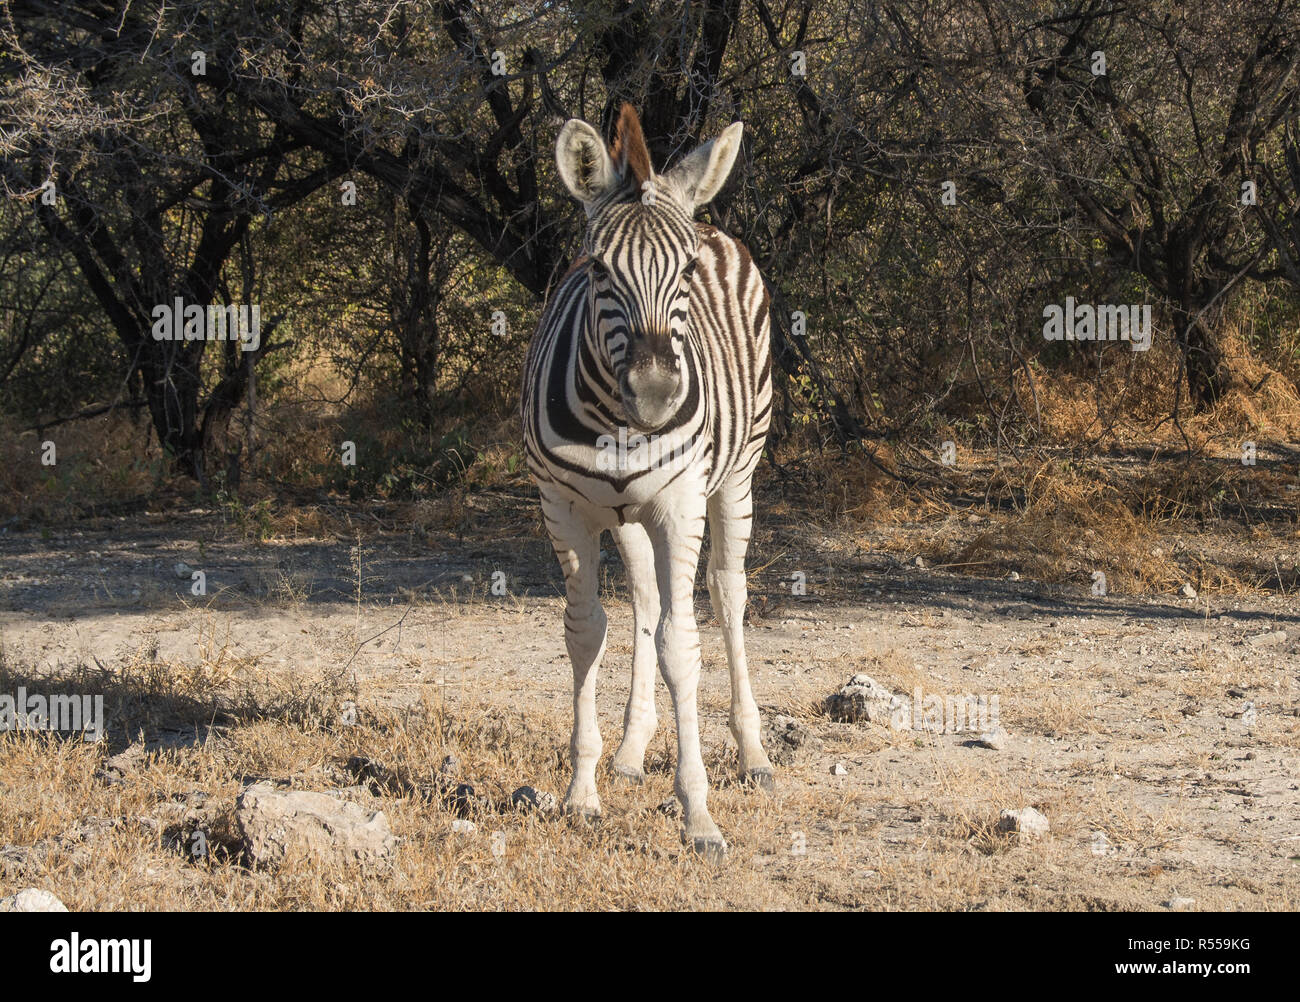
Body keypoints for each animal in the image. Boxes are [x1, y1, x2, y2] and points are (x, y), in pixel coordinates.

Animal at [522, 105, 773, 861]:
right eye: (599, 269)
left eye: (686, 269)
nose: (658, 394)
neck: (617, 423)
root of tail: (708, 215)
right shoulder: (563, 508)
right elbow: (587, 633)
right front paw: (582, 792)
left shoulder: (679, 502)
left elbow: (680, 646)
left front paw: (698, 814)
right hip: (627, 514)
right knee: (644, 601)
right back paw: (632, 751)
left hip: (735, 479)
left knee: (725, 593)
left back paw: (753, 753)